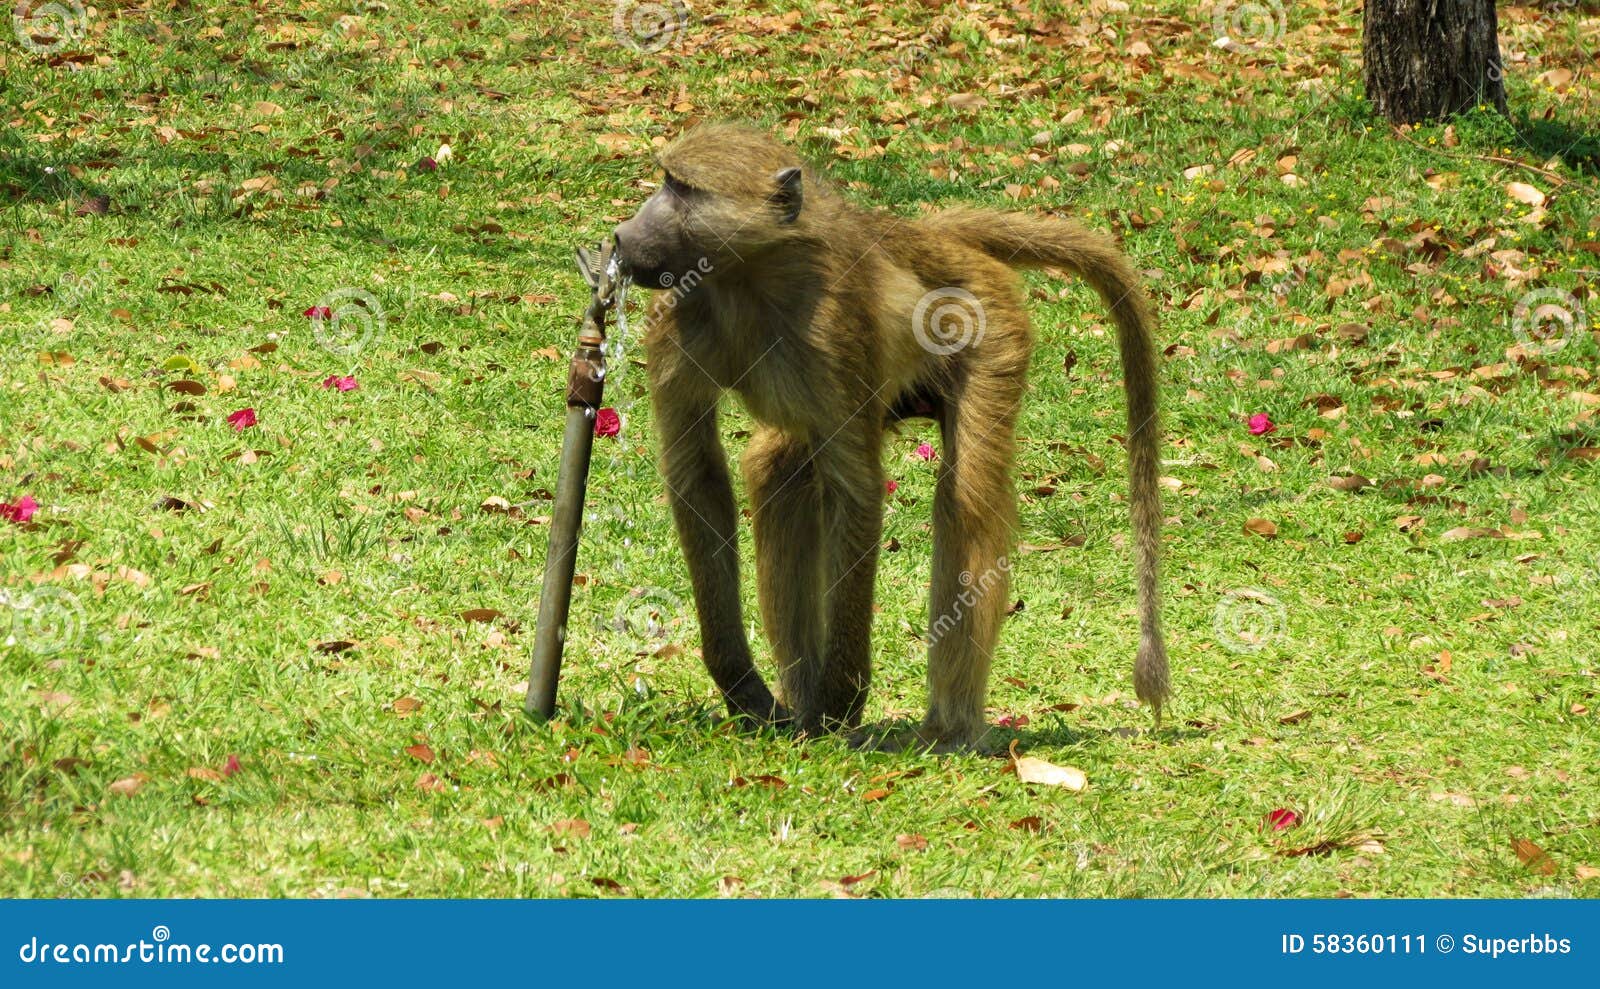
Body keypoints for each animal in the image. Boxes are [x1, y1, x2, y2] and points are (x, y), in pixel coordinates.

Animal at [611, 122, 1167, 752]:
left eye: (680, 189)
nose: (623, 235)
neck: (747, 279)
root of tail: (937, 239)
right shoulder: (674, 313)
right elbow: (699, 474)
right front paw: (748, 691)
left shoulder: (835, 327)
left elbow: (855, 491)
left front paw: (839, 705)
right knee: (779, 473)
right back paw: (804, 703)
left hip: (993, 324)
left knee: (968, 498)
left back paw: (948, 730)